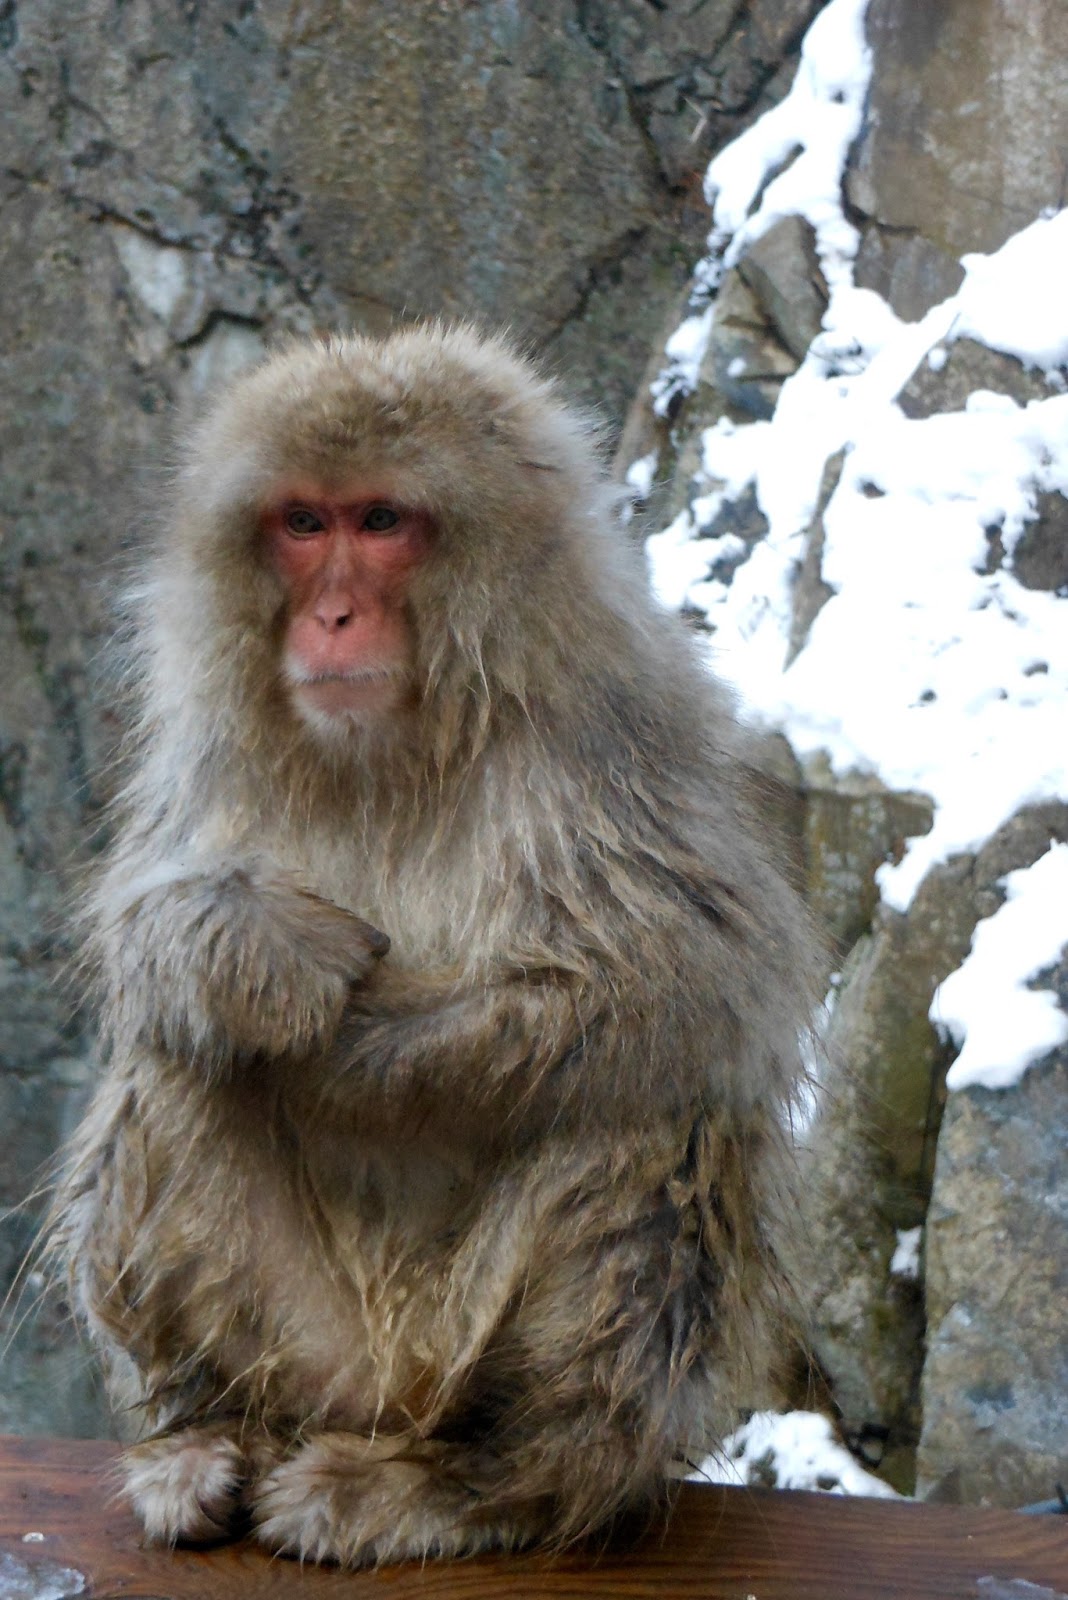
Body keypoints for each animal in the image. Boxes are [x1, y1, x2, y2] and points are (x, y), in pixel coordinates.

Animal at [51, 324, 820, 1567]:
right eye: (303, 522)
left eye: (382, 521)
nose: (331, 617)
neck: (398, 743)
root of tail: (377, 1398)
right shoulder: (216, 733)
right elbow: (141, 930)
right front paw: (254, 952)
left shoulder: (608, 736)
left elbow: (688, 979)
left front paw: (345, 1050)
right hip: (313, 1350)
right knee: (172, 1064)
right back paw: (206, 1434)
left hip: (454, 1356)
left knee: (638, 1111)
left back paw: (482, 1484)